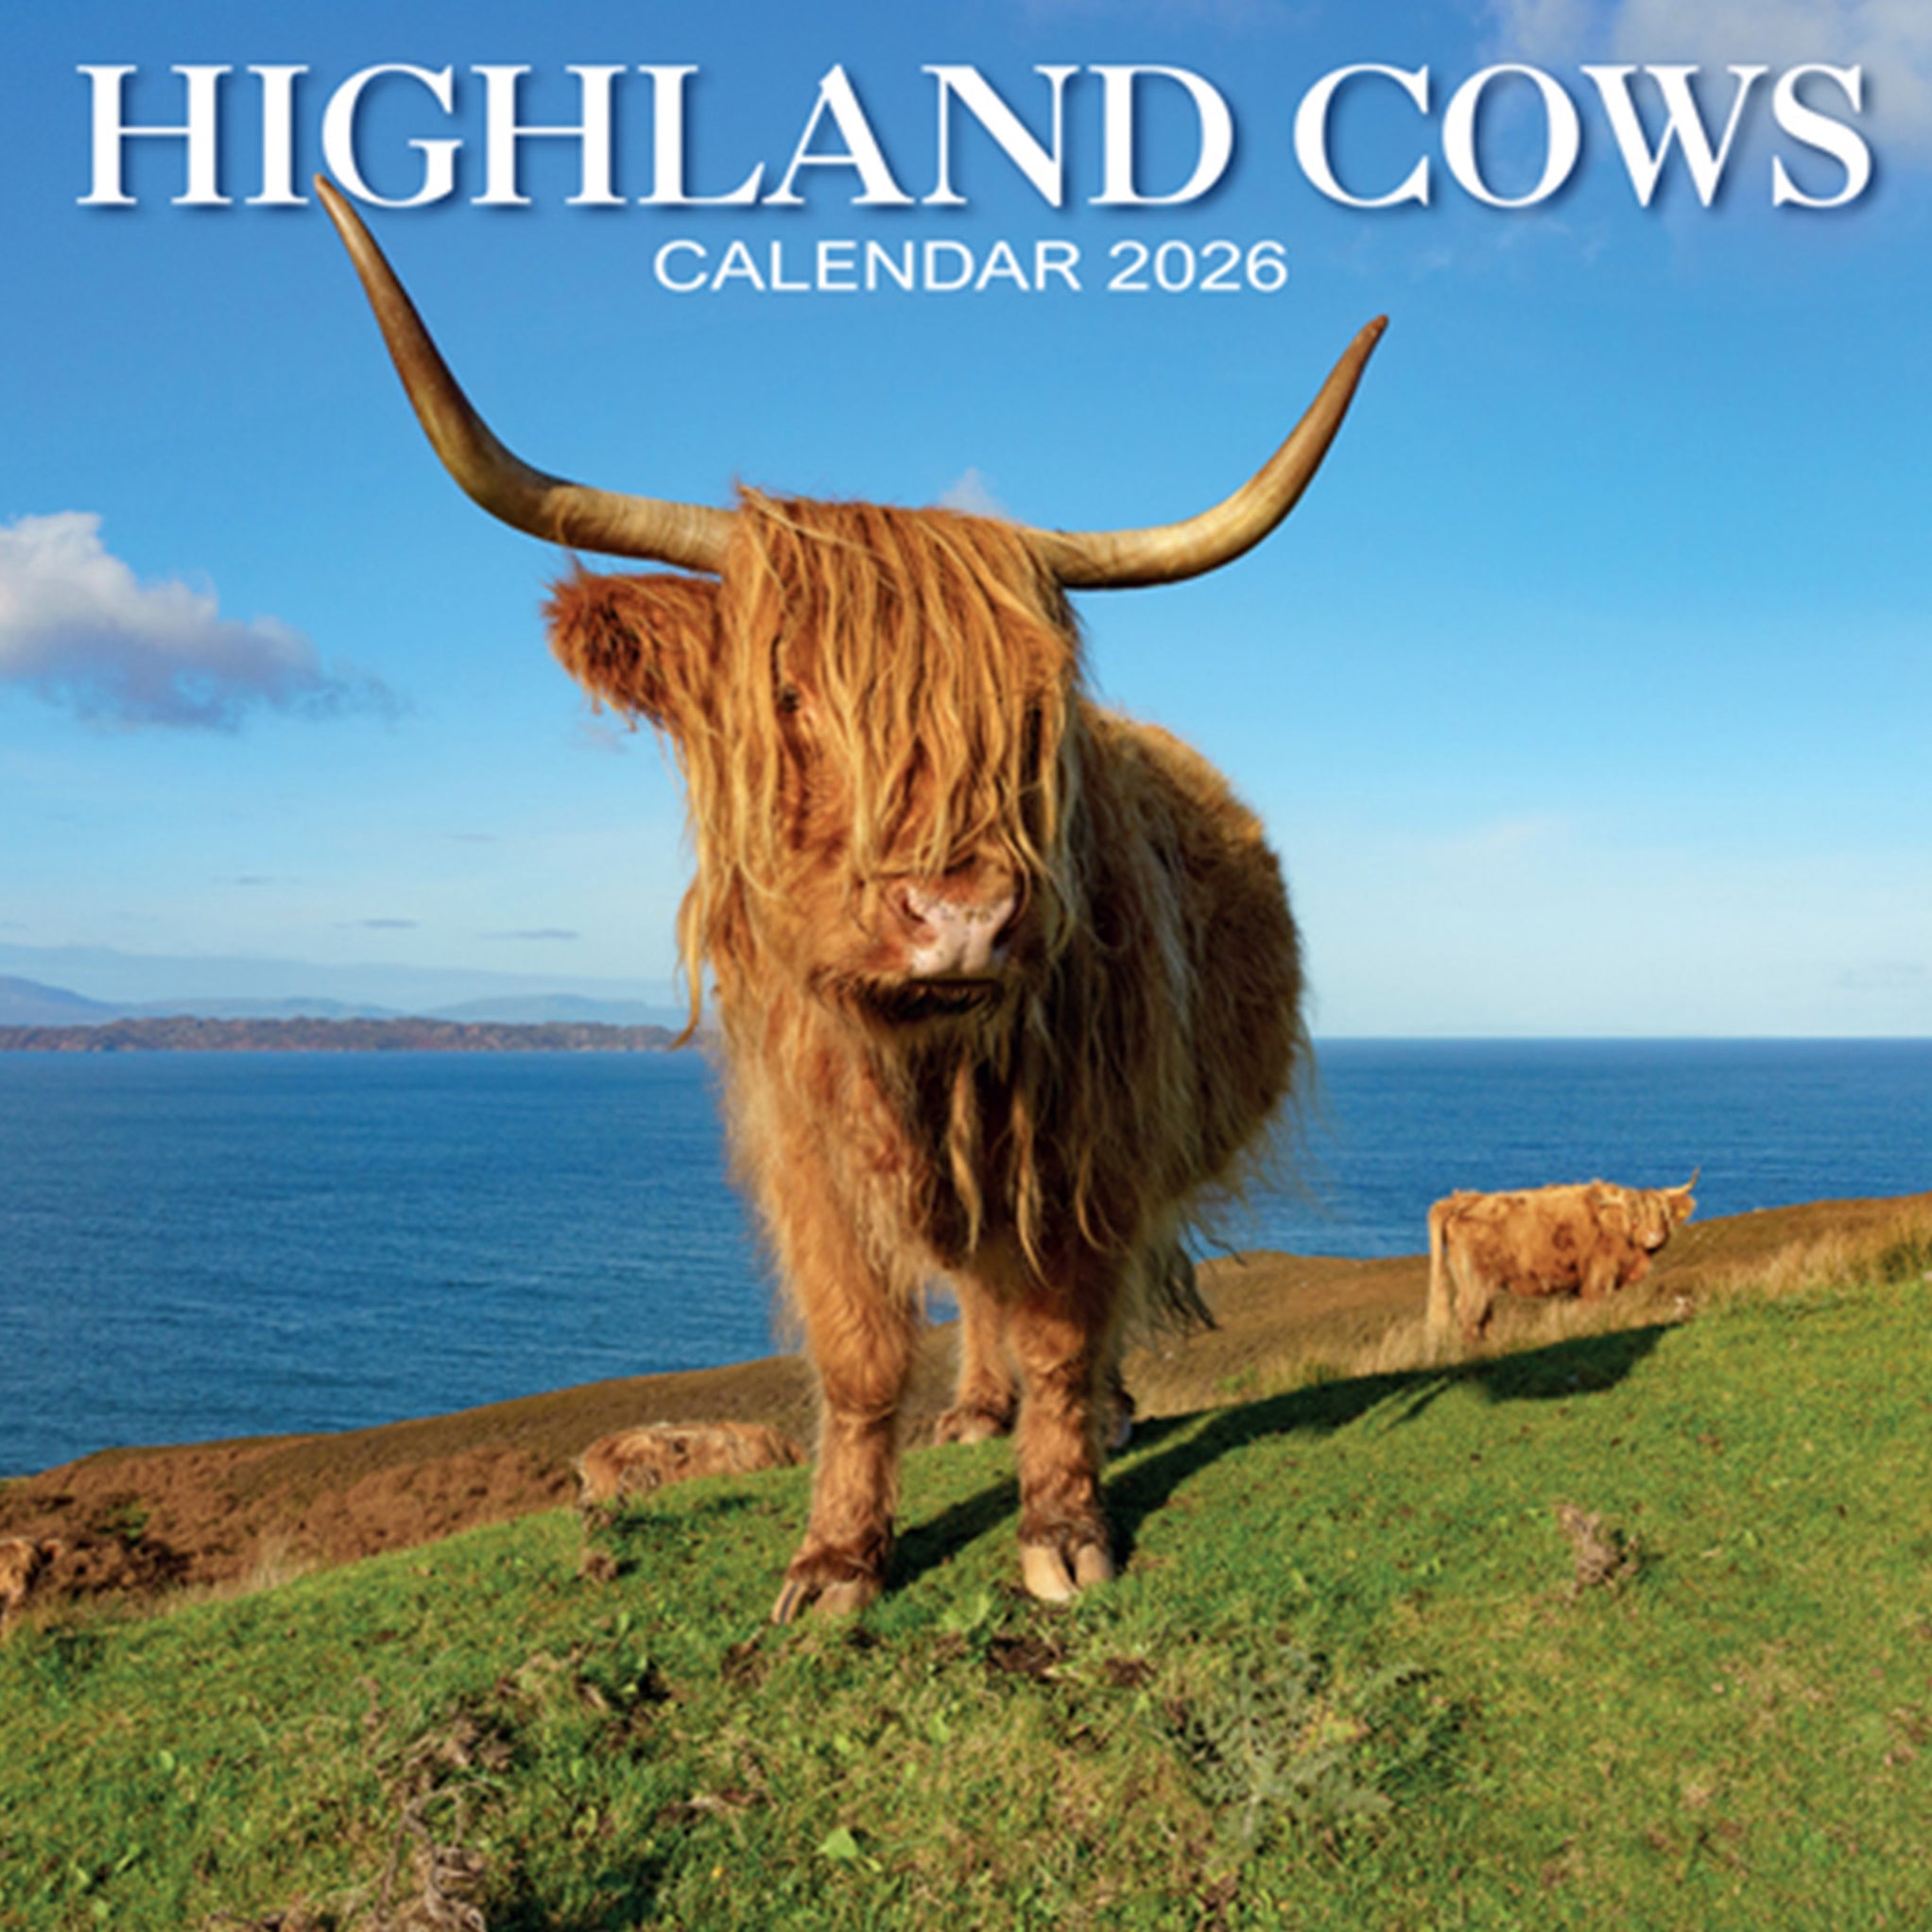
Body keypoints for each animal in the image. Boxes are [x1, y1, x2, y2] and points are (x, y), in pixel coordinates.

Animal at [319, 178, 1383, 1619]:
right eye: (787, 695)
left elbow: (1065, 1328)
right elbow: (860, 1351)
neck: (916, 1061)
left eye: (1032, 715)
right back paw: (975, 1409)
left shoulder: (1091, 1137)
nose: (964, 920)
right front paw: (836, 1559)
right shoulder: (804, 1145)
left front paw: (1064, 1524)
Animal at [1426, 1174, 1699, 1348]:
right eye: (1635, 1216)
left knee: (1483, 1313)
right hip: (1475, 1278)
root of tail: (1464, 1198)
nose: (1655, 1236)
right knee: (1468, 1311)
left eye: (1663, 1213)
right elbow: (1593, 1308)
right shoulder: (1599, 1277)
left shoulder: (1580, 1283)